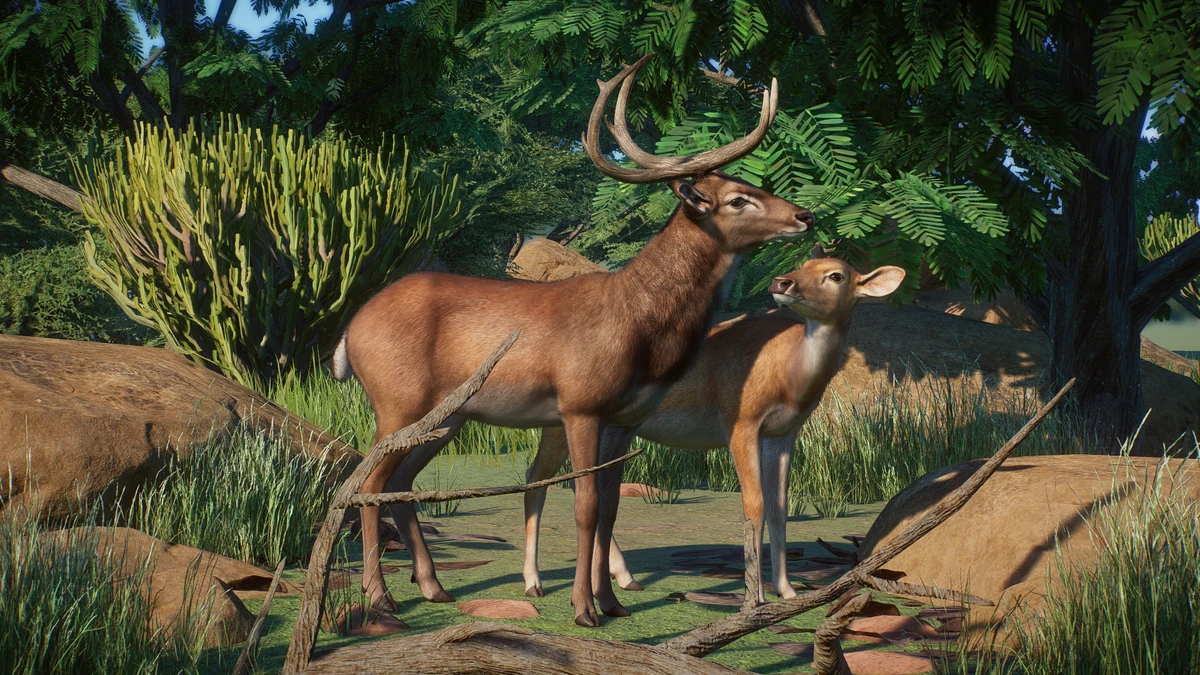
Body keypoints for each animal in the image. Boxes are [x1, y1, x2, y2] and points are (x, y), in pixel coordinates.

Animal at [330, 53, 815, 627]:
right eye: (739, 199)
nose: (804, 215)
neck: (638, 323)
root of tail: (349, 333)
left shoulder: (626, 418)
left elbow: (610, 506)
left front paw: (613, 601)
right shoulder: (580, 404)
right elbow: (584, 505)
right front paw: (584, 608)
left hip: (446, 419)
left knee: (399, 483)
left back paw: (433, 587)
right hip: (396, 400)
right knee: (367, 483)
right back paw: (381, 599)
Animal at [518, 250, 906, 607]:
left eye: (836, 275)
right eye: (802, 265)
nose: (782, 282)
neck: (788, 376)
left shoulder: (784, 433)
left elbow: (780, 507)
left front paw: (788, 591)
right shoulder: (741, 420)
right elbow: (754, 504)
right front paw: (756, 597)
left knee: (580, 482)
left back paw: (626, 579)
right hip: (564, 417)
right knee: (538, 475)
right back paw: (534, 583)